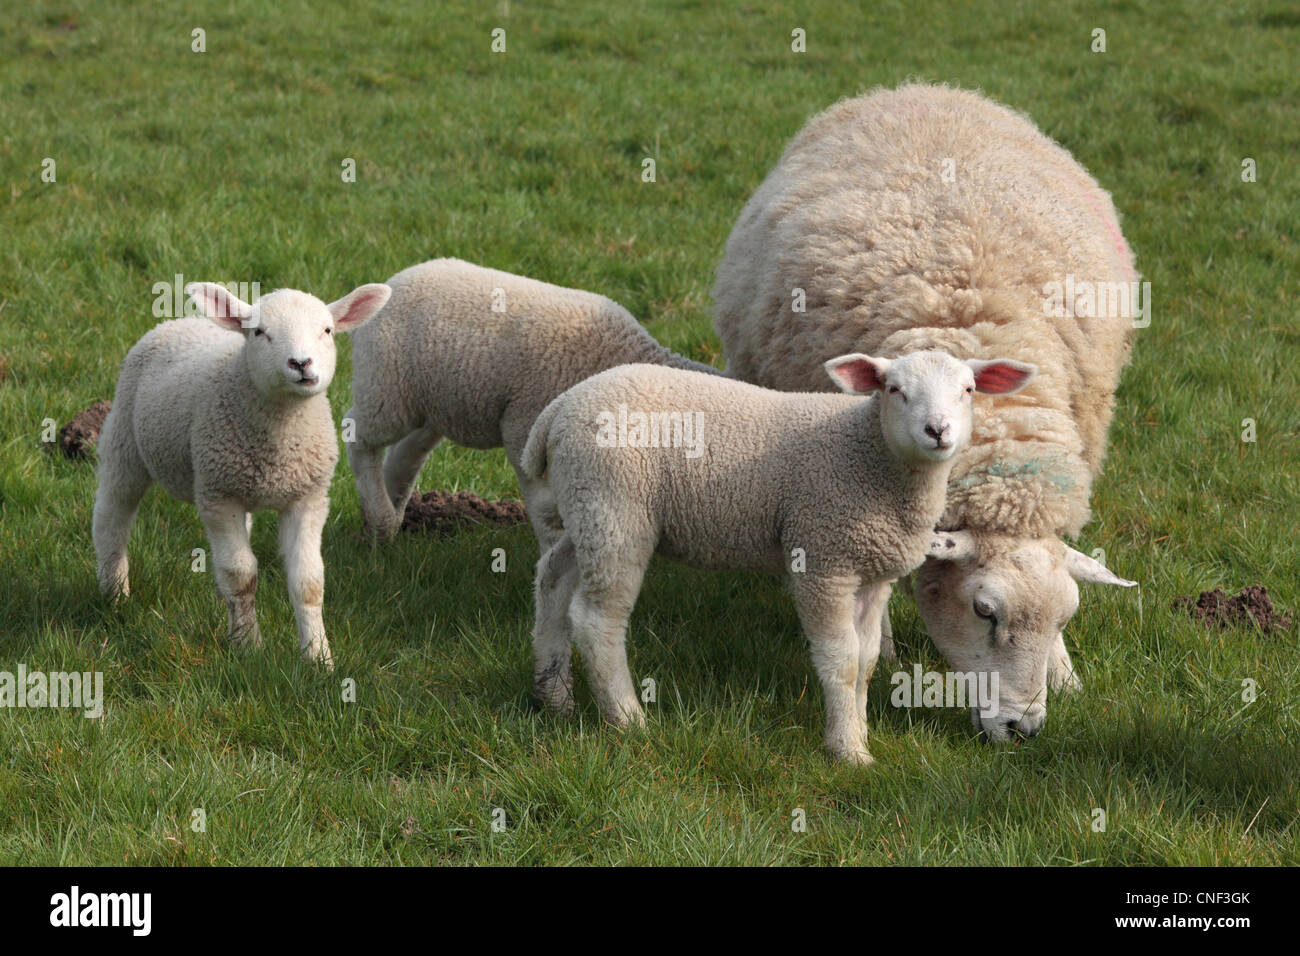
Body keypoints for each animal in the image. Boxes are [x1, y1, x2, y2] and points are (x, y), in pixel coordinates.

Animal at [92, 280, 392, 668]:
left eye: (327, 330)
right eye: (260, 332)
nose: (301, 363)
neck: (282, 432)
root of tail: (179, 320)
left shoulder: (308, 497)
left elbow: (308, 580)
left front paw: (318, 657)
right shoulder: (219, 496)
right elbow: (242, 576)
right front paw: (249, 648)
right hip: (125, 443)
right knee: (111, 517)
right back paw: (114, 594)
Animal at [344, 258, 719, 544]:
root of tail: (399, 277)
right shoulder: (523, 428)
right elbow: (544, 509)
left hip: (434, 403)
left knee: (407, 453)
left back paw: (390, 520)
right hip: (385, 389)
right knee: (359, 437)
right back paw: (379, 519)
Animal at [522, 350, 1036, 765]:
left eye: (968, 390)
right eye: (895, 390)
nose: (938, 431)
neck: (870, 456)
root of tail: (558, 411)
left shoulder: (872, 576)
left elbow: (867, 660)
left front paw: (861, 731)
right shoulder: (824, 560)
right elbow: (842, 660)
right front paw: (847, 751)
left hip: (586, 508)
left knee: (552, 580)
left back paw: (554, 697)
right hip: (616, 509)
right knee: (597, 620)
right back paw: (627, 719)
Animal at [712, 83, 1138, 740]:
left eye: (1066, 617)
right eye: (983, 610)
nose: (1024, 731)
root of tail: (914, 90)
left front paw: (1065, 674)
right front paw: (885, 654)